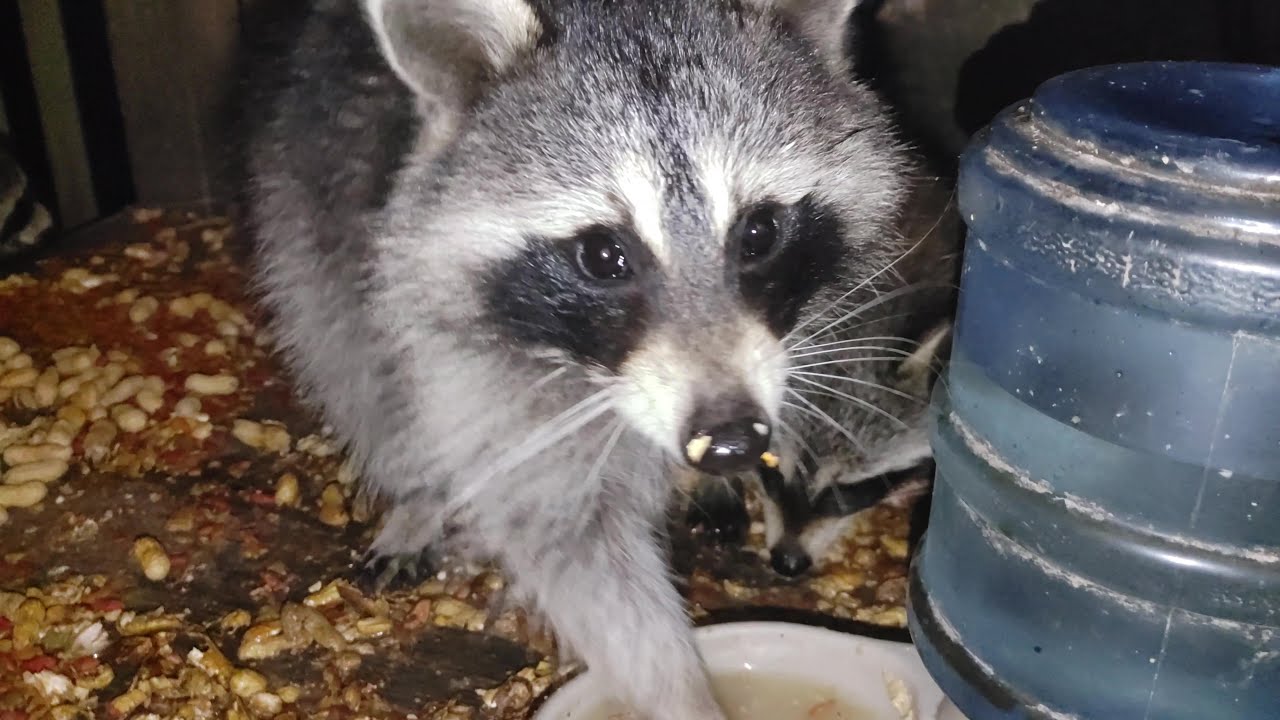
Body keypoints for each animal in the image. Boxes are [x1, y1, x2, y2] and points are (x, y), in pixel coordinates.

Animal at [239, 0, 956, 717]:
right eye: (604, 256)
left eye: (759, 232)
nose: (731, 440)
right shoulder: (468, 348)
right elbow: (568, 535)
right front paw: (680, 689)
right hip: (313, 193)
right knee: (348, 357)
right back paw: (416, 492)